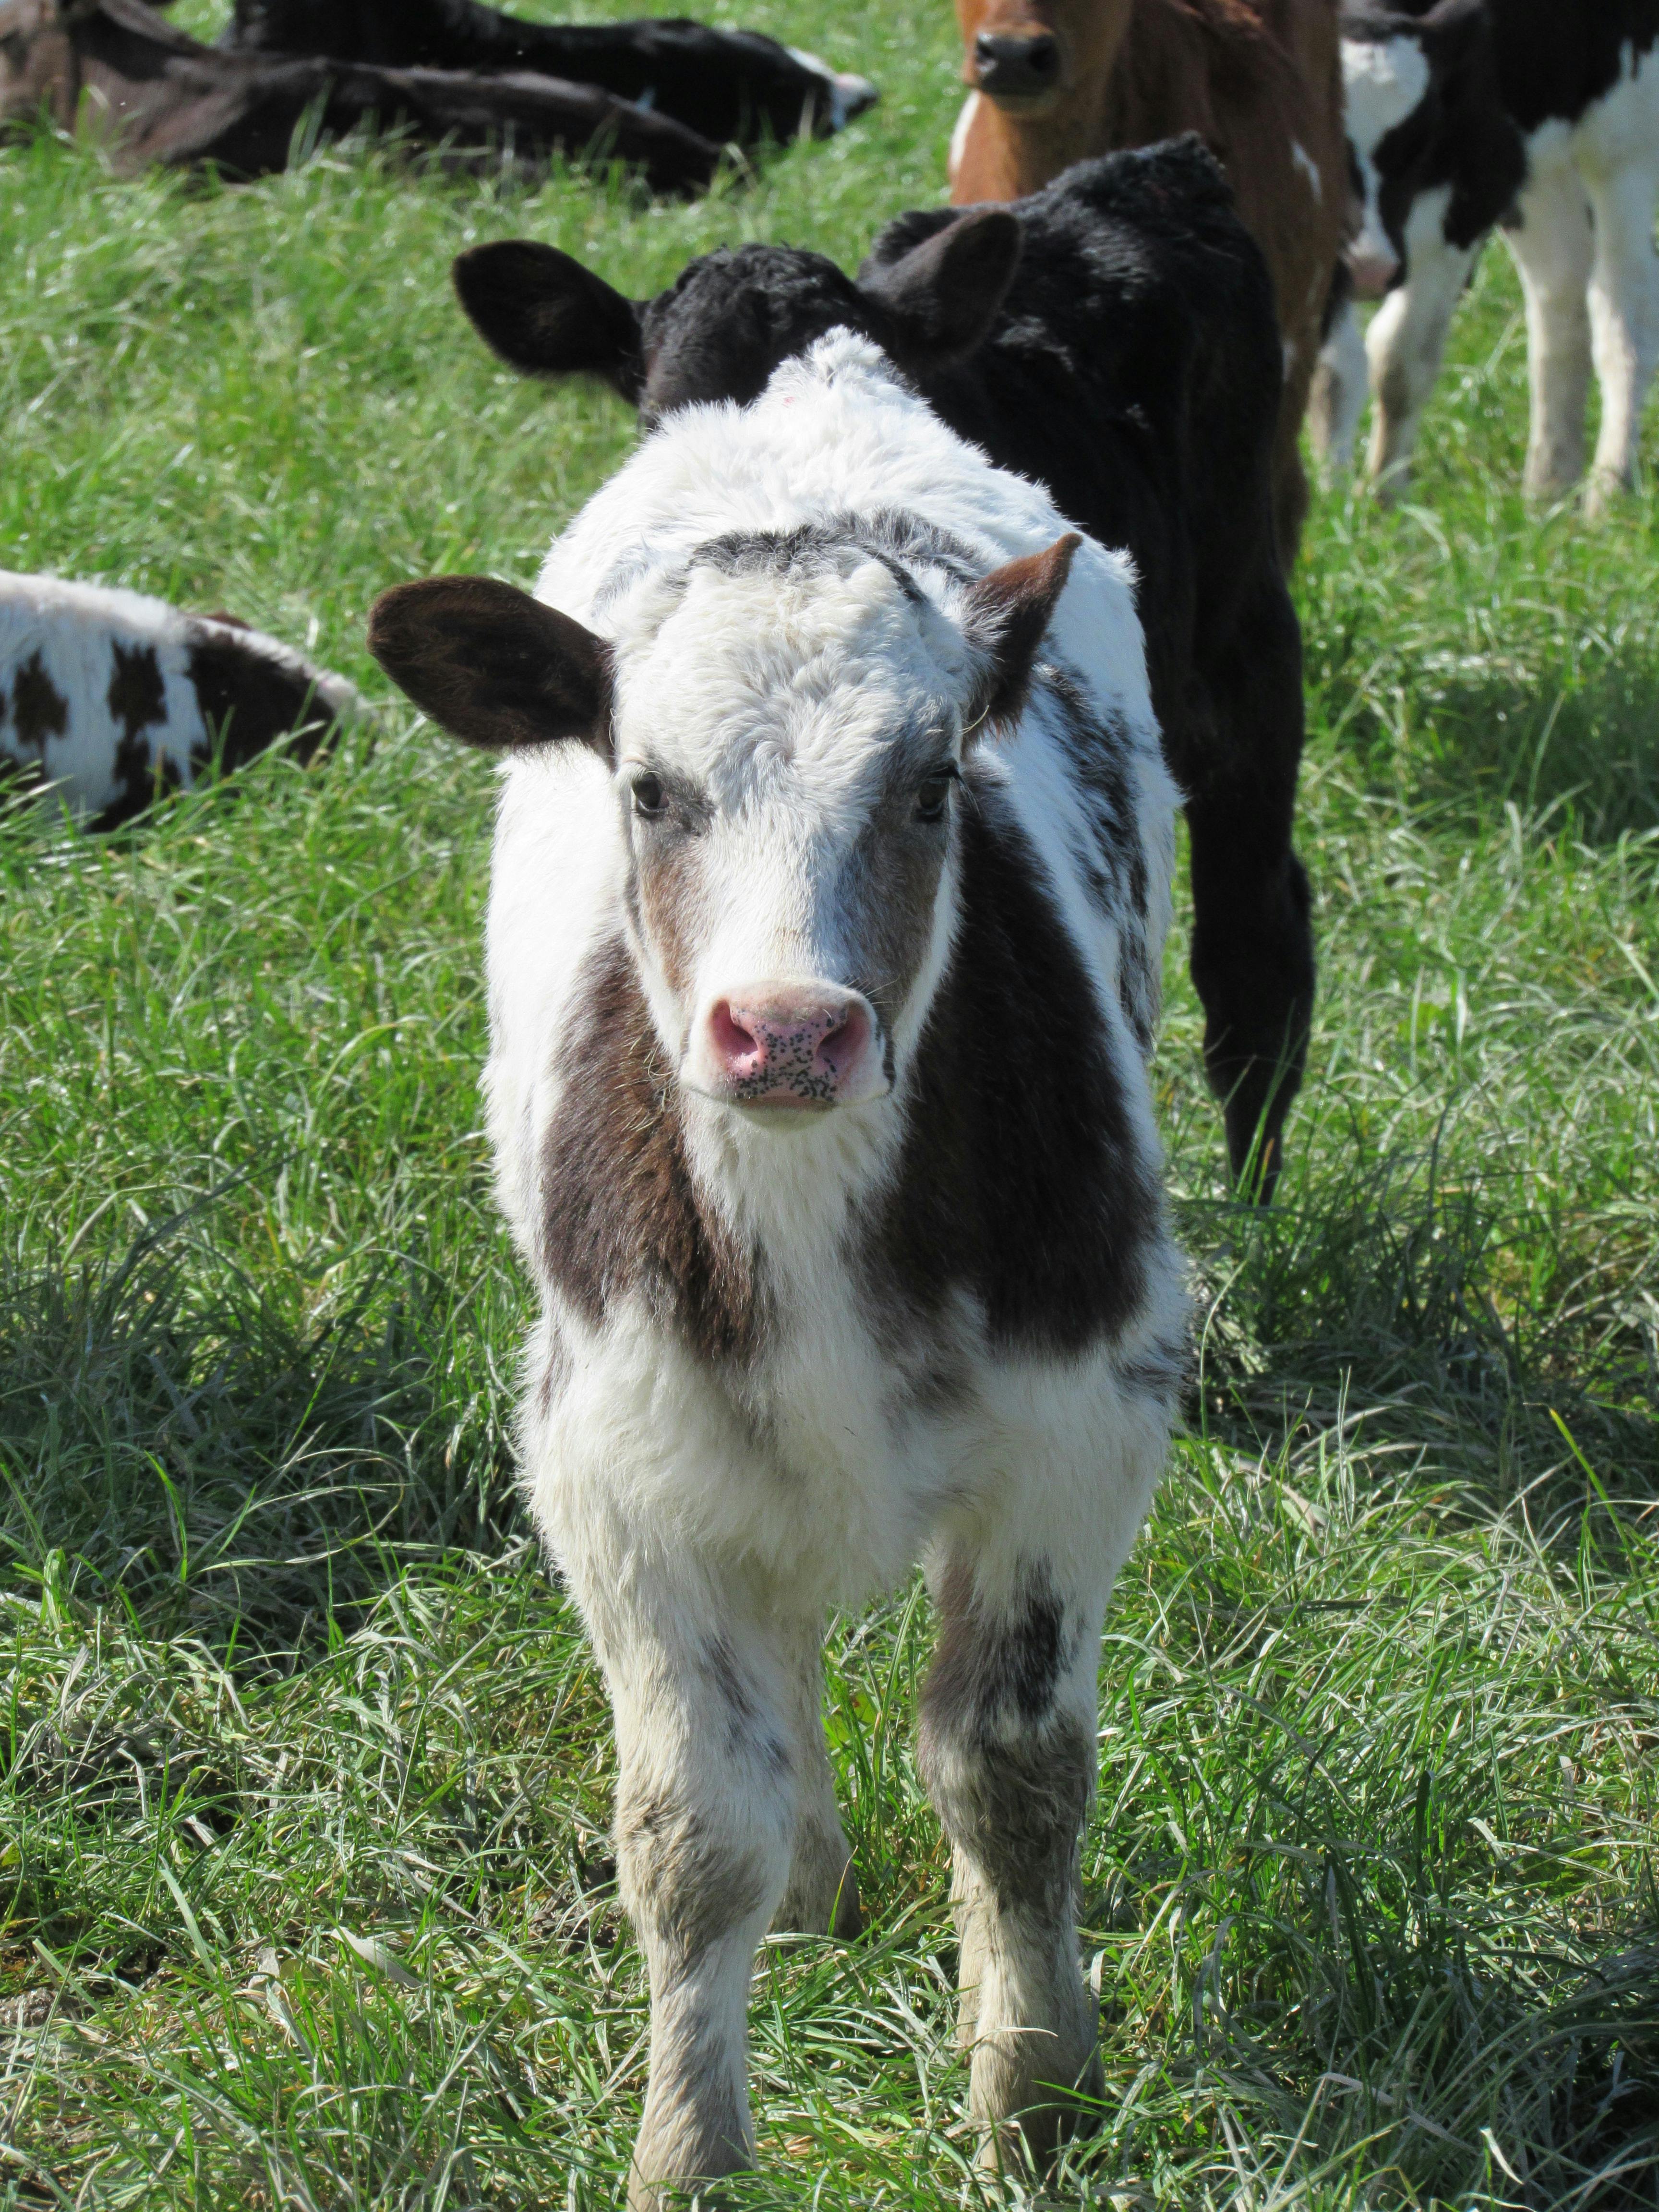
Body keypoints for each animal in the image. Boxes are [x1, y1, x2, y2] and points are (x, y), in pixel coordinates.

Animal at [368, 324, 1187, 2209]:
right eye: (648, 788)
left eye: (931, 782)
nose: (793, 1029)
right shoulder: (611, 1459)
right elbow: (690, 1829)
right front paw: (689, 2148)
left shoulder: (1085, 1417)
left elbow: (1011, 1766)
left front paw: (1033, 2095)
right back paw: (813, 1877)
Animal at [1334, 0, 1659, 512]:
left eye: (1418, 141)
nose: (1367, 269)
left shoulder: (1472, 178)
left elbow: (1397, 358)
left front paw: (1383, 498)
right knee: (1563, 295)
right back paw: (1548, 488)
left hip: (1623, 143)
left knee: (1626, 316)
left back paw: (1608, 493)